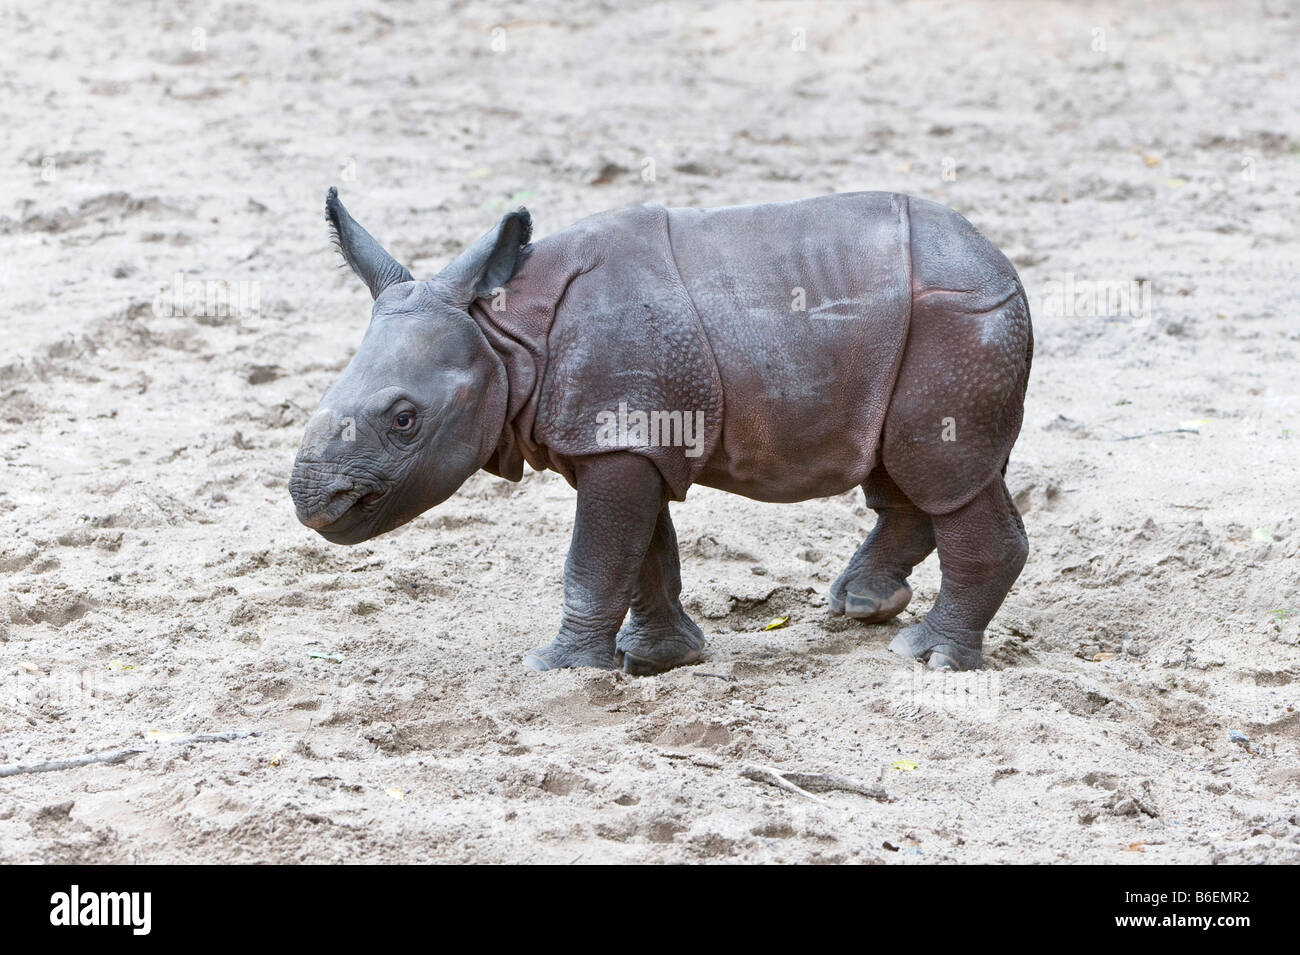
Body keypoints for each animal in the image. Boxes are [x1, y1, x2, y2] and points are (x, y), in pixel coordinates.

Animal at [289, 188, 1031, 674]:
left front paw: (558, 669)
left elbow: (596, 557)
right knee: (912, 472)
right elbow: (643, 552)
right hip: (923, 337)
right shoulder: (629, 438)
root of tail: (1000, 263)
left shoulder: (621, 434)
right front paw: (659, 659)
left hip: (958, 327)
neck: (504, 334)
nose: (311, 501)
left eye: (404, 419)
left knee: (944, 474)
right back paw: (863, 607)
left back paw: (928, 656)